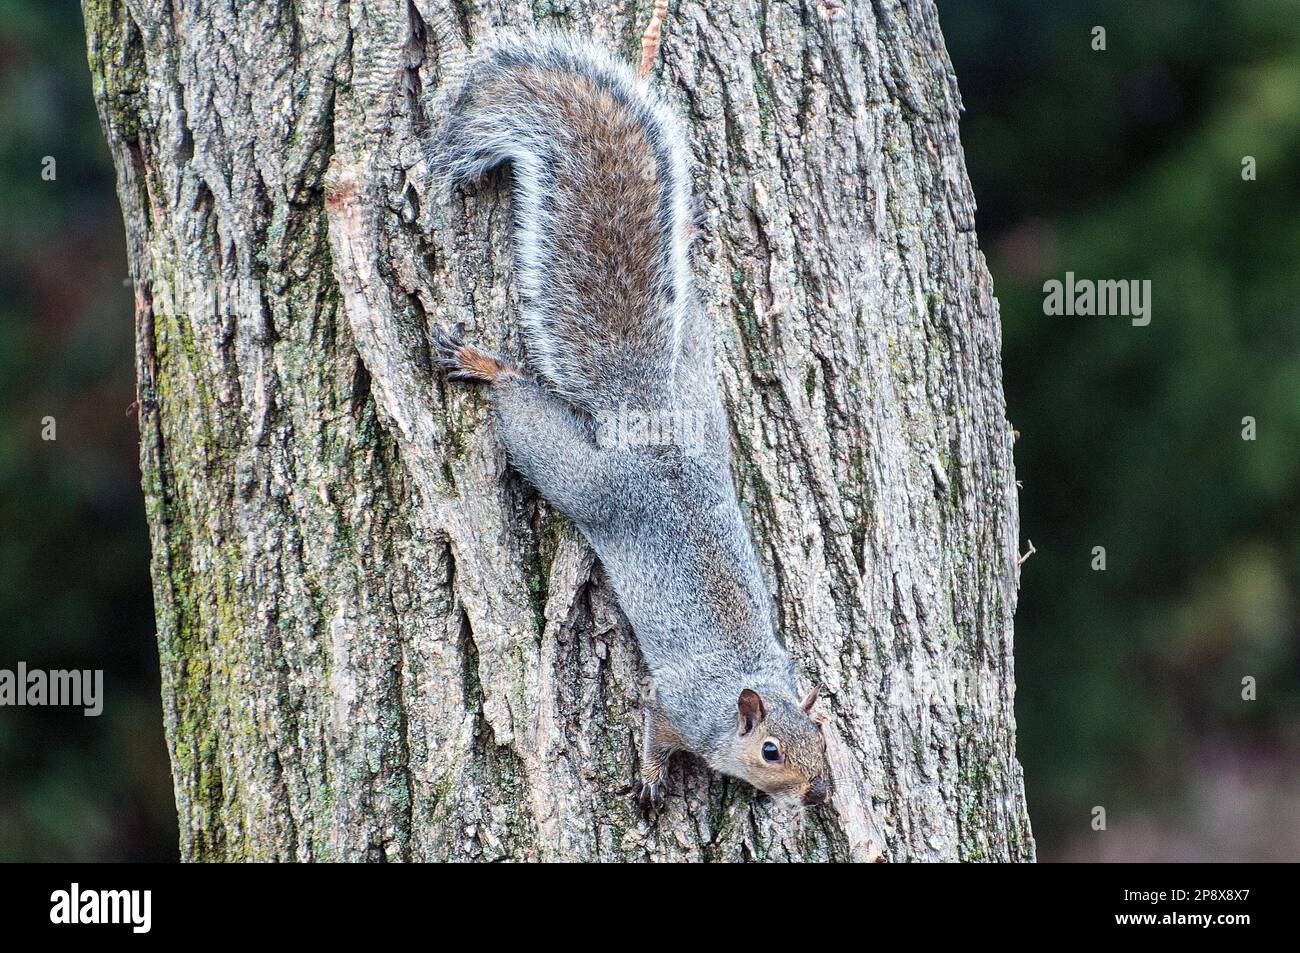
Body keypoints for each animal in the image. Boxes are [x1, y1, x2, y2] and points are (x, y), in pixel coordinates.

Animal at [425, 33, 831, 814]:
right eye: (770, 750)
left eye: (821, 739)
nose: (812, 793)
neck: (748, 688)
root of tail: (646, 419)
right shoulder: (678, 705)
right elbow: (652, 729)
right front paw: (648, 777)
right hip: (588, 479)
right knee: (528, 413)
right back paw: (487, 366)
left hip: (700, 399)